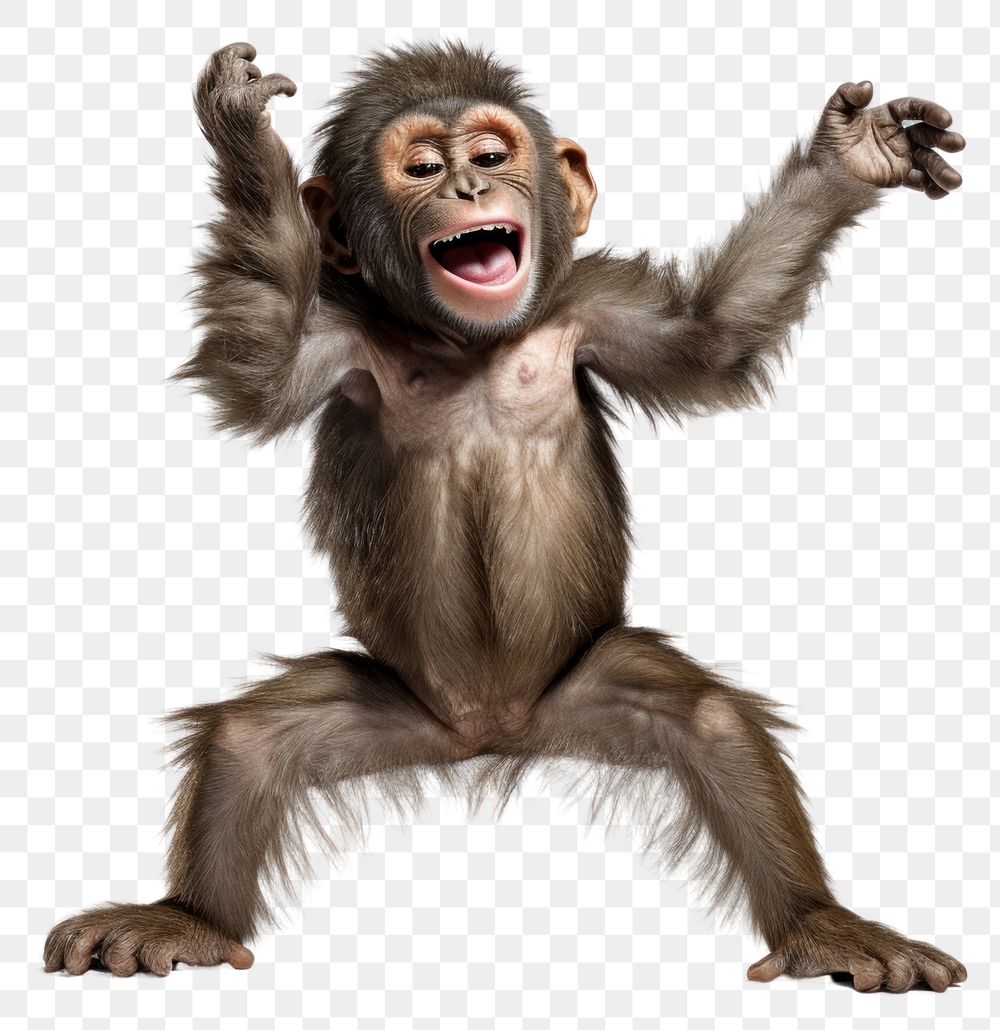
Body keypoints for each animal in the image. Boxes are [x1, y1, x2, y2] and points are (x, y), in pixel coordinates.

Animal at [44, 41, 967, 991]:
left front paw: (852, 156)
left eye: (491, 154)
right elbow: (258, 367)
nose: (465, 185)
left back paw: (822, 925)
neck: (467, 344)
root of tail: (490, 734)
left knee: (713, 724)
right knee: (247, 741)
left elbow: (714, 335)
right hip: (393, 710)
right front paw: (245, 138)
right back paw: (185, 919)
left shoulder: (599, 306)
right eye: (420, 166)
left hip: (583, 691)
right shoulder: (329, 342)